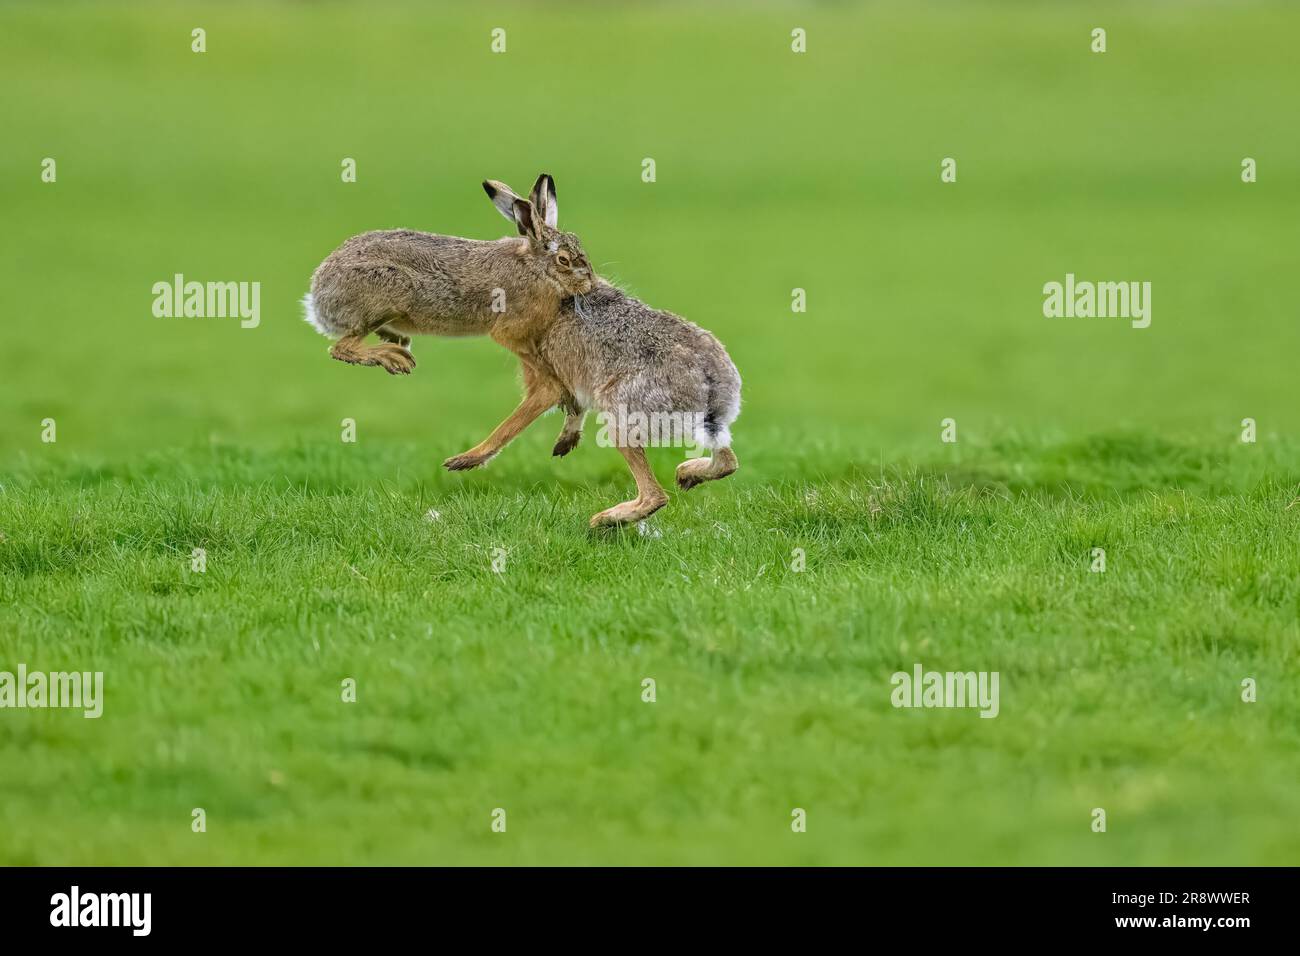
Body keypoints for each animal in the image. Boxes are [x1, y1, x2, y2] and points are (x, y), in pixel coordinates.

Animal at [441, 176, 741, 528]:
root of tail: (712, 385)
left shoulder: (544, 377)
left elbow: (514, 422)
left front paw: (464, 460)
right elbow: (572, 409)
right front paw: (564, 443)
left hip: (622, 414)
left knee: (655, 495)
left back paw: (605, 519)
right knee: (727, 461)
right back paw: (686, 475)